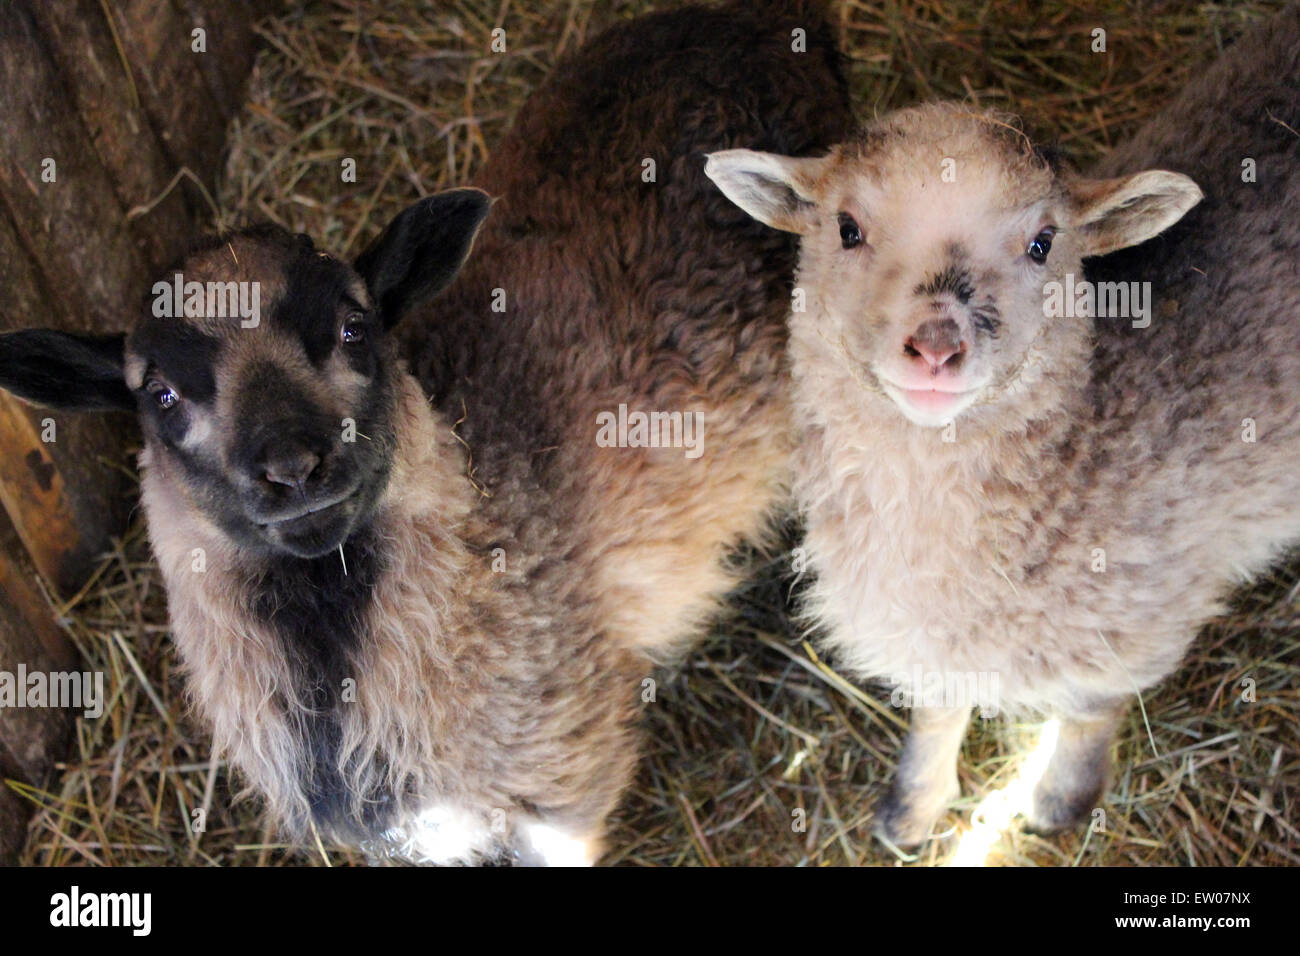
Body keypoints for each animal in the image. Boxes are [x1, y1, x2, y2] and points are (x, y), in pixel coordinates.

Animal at [705, 5, 1300, 848]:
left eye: (1044, 244)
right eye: (846, 227)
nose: (936, 344)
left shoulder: (1138, 611)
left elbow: (1089, 707)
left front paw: (1059, 802)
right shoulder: (940, 626)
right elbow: (937, 707)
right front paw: (912, 809)